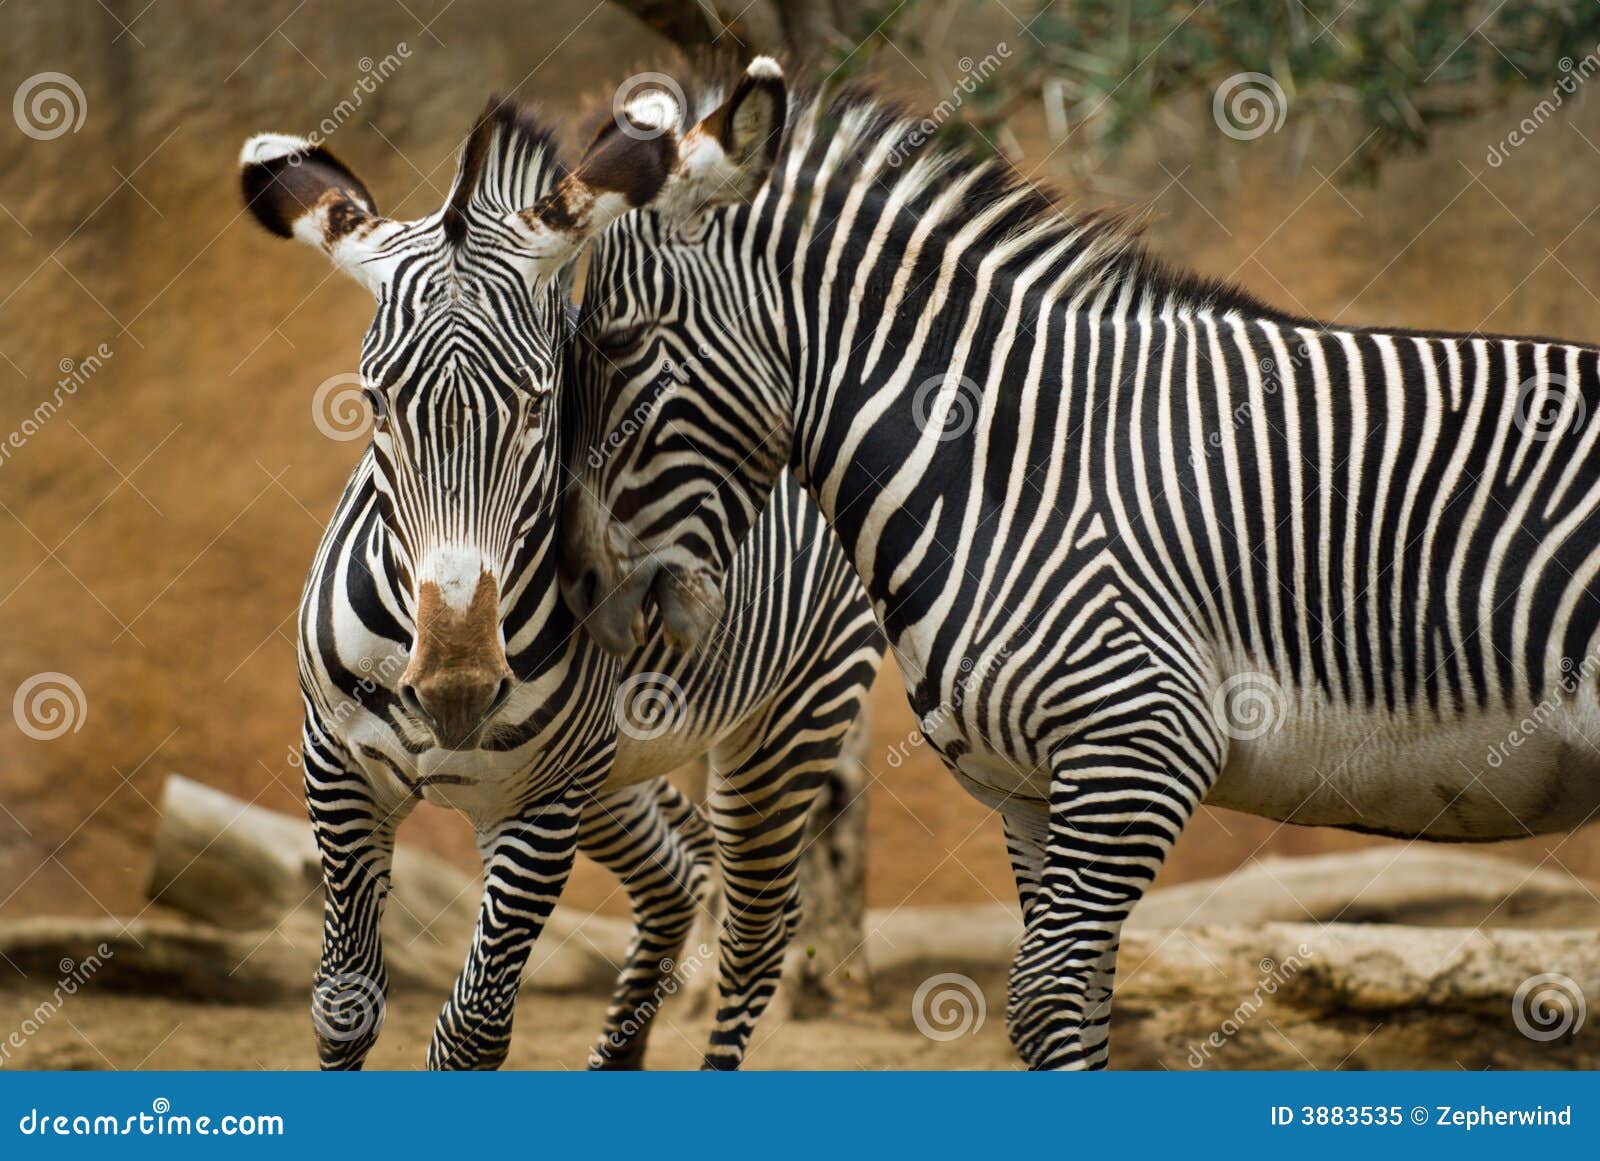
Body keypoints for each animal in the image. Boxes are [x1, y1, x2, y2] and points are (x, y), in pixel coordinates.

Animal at [237, 95, 882, 1070]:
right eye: (376, 402)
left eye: (541, 402)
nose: (456, 688)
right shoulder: (336, 766)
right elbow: (342, 1004)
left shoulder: (540, 808)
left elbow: (474, 1027)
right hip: (616, 771)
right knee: (679, 873)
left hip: (783, 731)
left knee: (758, 934)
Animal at [547, 57, 1600, 1069]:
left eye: (615, 341)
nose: (577, 597)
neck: (1020, 464)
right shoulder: (1034, 789)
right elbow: (1082, 1011)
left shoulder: (1138, 744)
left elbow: (1042, 1000)